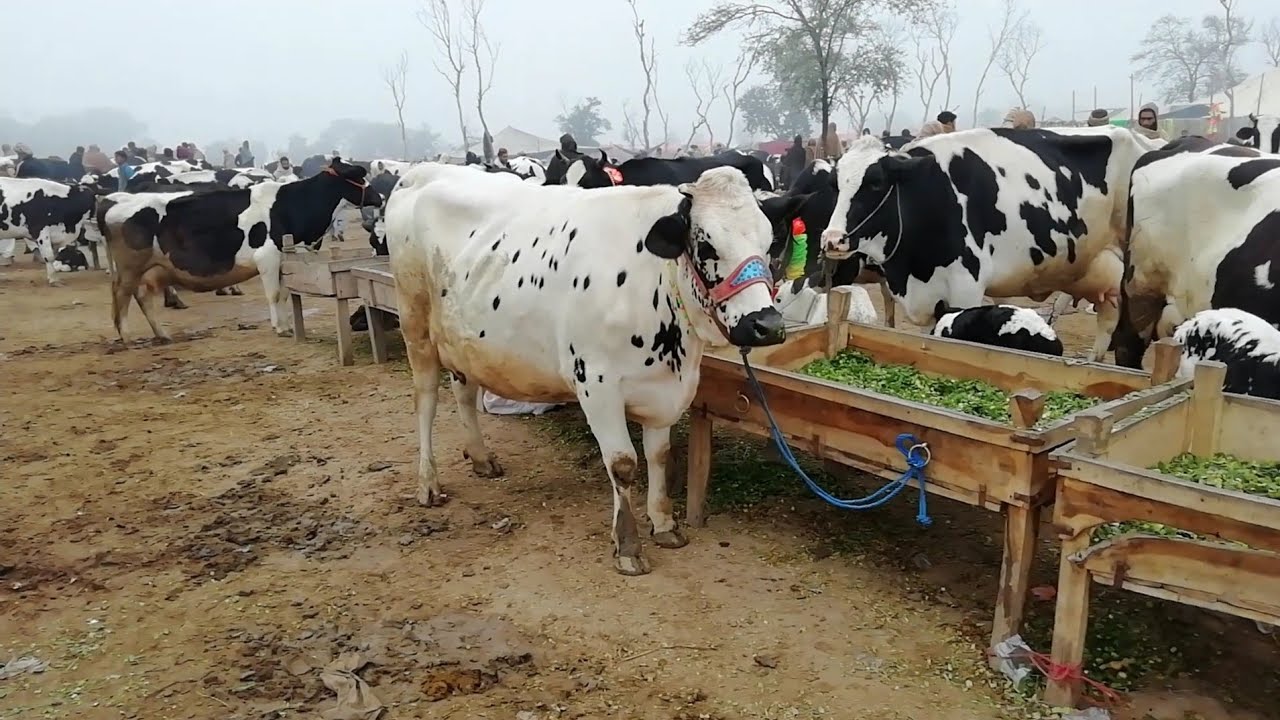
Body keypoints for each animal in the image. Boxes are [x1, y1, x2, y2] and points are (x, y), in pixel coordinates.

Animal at [99, 158, 382, 342]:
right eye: (359, 176)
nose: (379, 197)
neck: (288, 206)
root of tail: (115, 198)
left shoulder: (283, 261)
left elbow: (283, 295)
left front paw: (286, 325)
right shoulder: (267, 257)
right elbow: (273, 294)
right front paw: (280, 329)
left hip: (150, 269)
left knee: (142, 296)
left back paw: (162, 334)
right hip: (130, 268)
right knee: (121, 294)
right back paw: (126, 335)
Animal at [385, 163, 794, 575]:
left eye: (769, 244)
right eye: (707, 246)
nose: (765, 324)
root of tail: (424, 170)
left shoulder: (664, 390)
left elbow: (660, 456)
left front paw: (663, 524)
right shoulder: (596, 384)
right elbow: (623, 464)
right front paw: (628, 545)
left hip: (464, 342)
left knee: (464, 392)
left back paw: (482, 458)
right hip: (415, 326)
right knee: (426, 402)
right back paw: (428, 484)